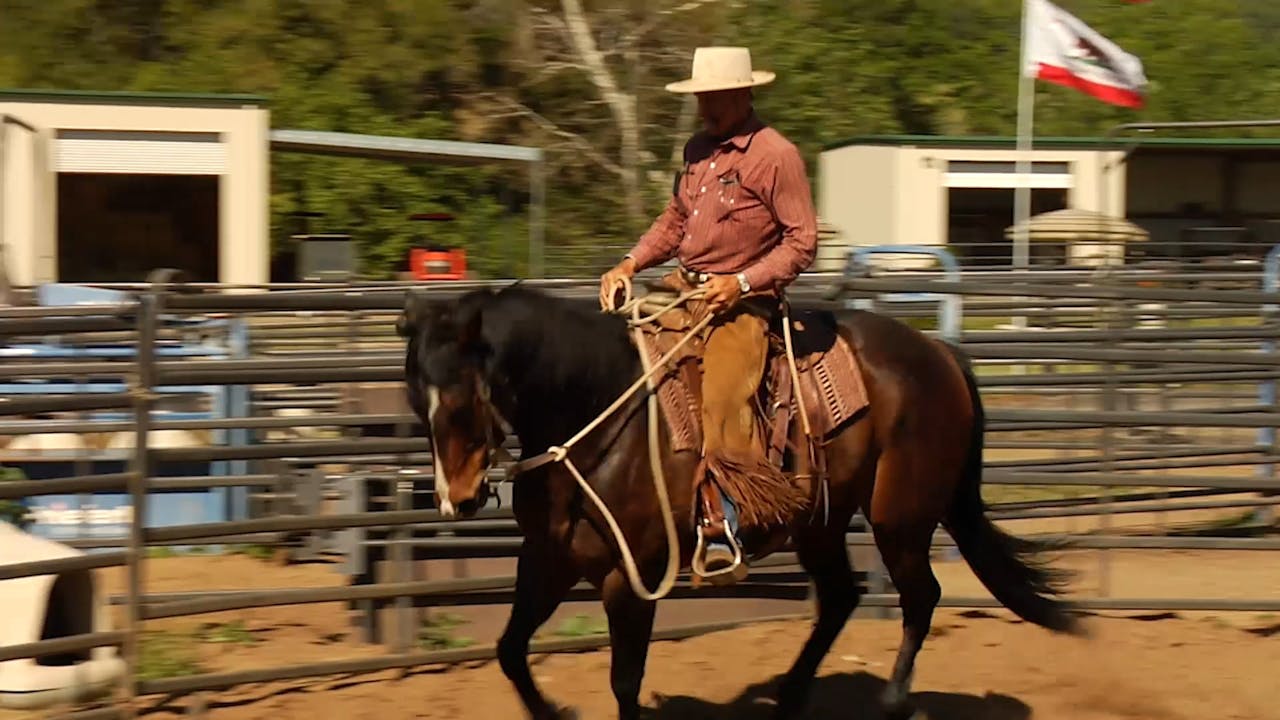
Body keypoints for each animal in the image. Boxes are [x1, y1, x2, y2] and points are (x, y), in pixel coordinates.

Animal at [396, 283, 1083, 720]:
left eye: (459, 400)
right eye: (415, 401)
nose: (457, 500)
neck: (597, 411)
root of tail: (938, 352)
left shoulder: (635, 577)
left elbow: (625, 682)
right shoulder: (548, 561)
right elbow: (511, 652)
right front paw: (558, 711)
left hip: (900, 518)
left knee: (921, 597)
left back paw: (890, 703)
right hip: (821, 522)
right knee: (841, 598)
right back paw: (789, 696)